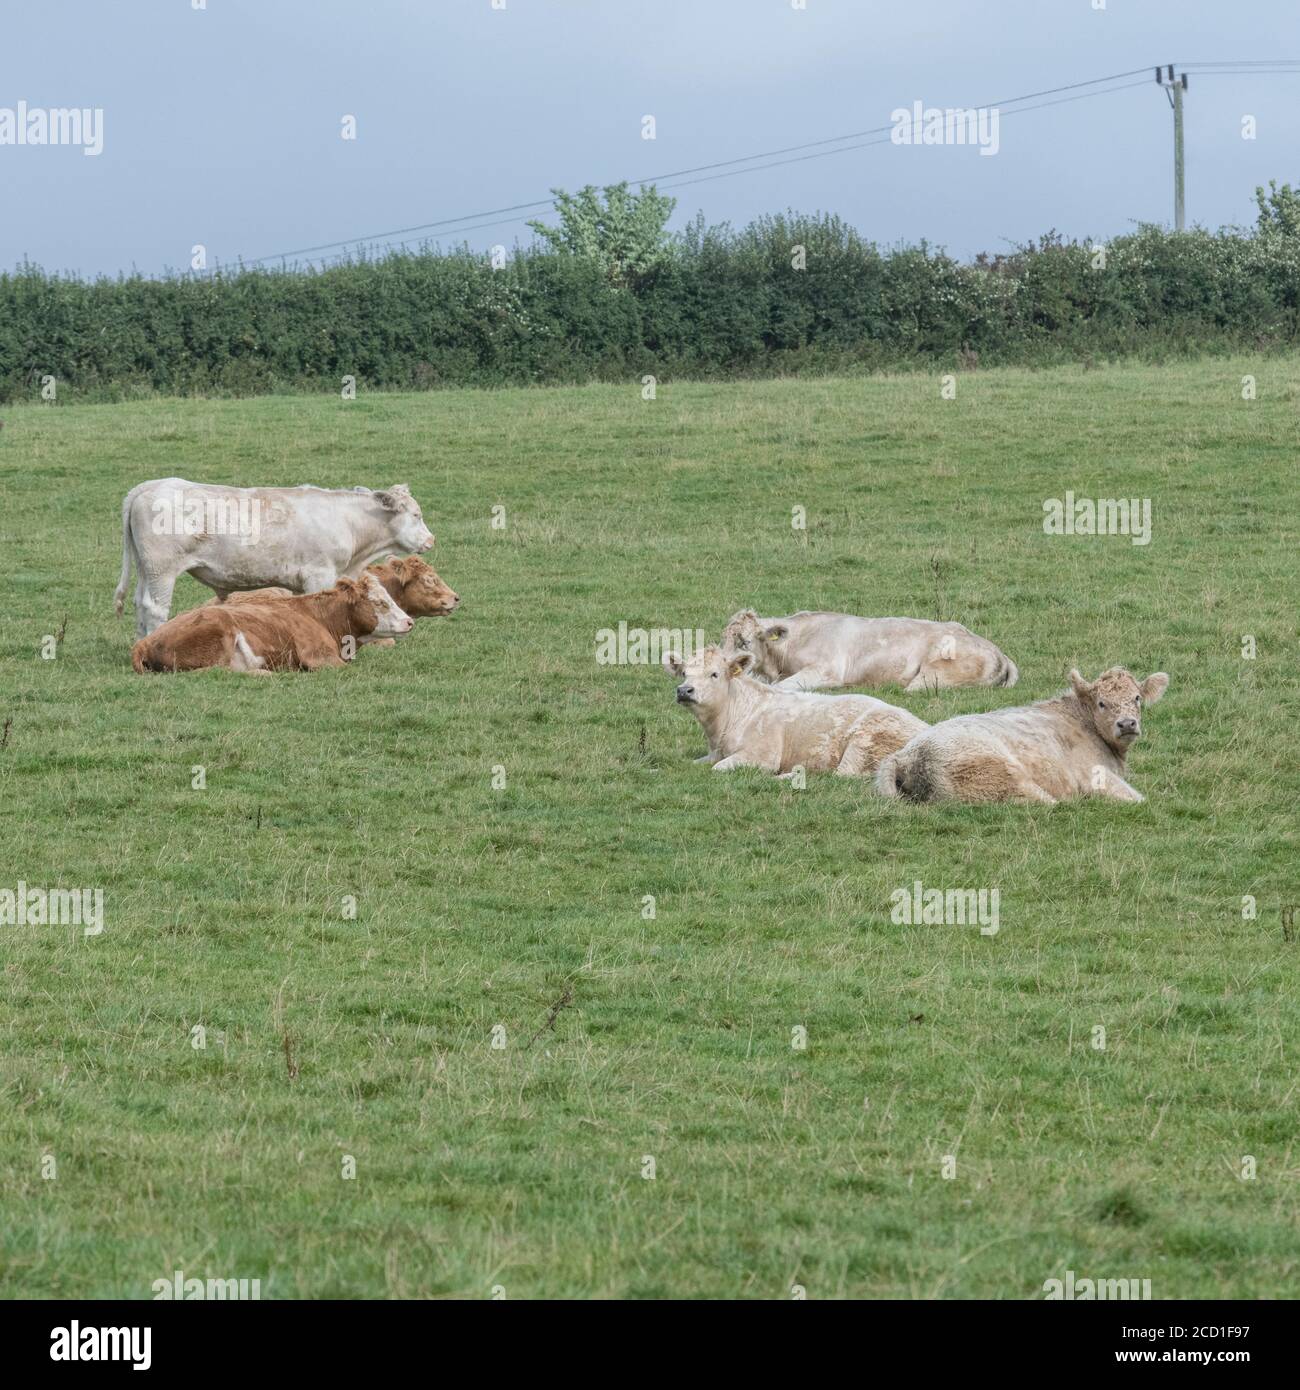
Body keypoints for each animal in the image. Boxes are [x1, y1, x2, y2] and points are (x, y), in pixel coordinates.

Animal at [114, 479, 435, 636]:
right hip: (162, 570)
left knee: (140, 604)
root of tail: (150, 485)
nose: (431, 540)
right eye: (416, 515)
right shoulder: (319, 574)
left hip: (146, 569)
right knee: (155, 608)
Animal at [664, 645, 929, 777]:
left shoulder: (762, 755)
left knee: (839, 776)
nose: (684, 690)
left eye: (715, 674)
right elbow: (692, 763)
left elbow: (717, 769)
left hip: (862, 745)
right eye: (684, 673)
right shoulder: (713, 754)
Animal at [875, 666, 1169, 804]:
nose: (1127, 724)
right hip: (1006, 779)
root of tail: (906, 754)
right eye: (1101, 703)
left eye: (1137, 698)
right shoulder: (1095, 776)